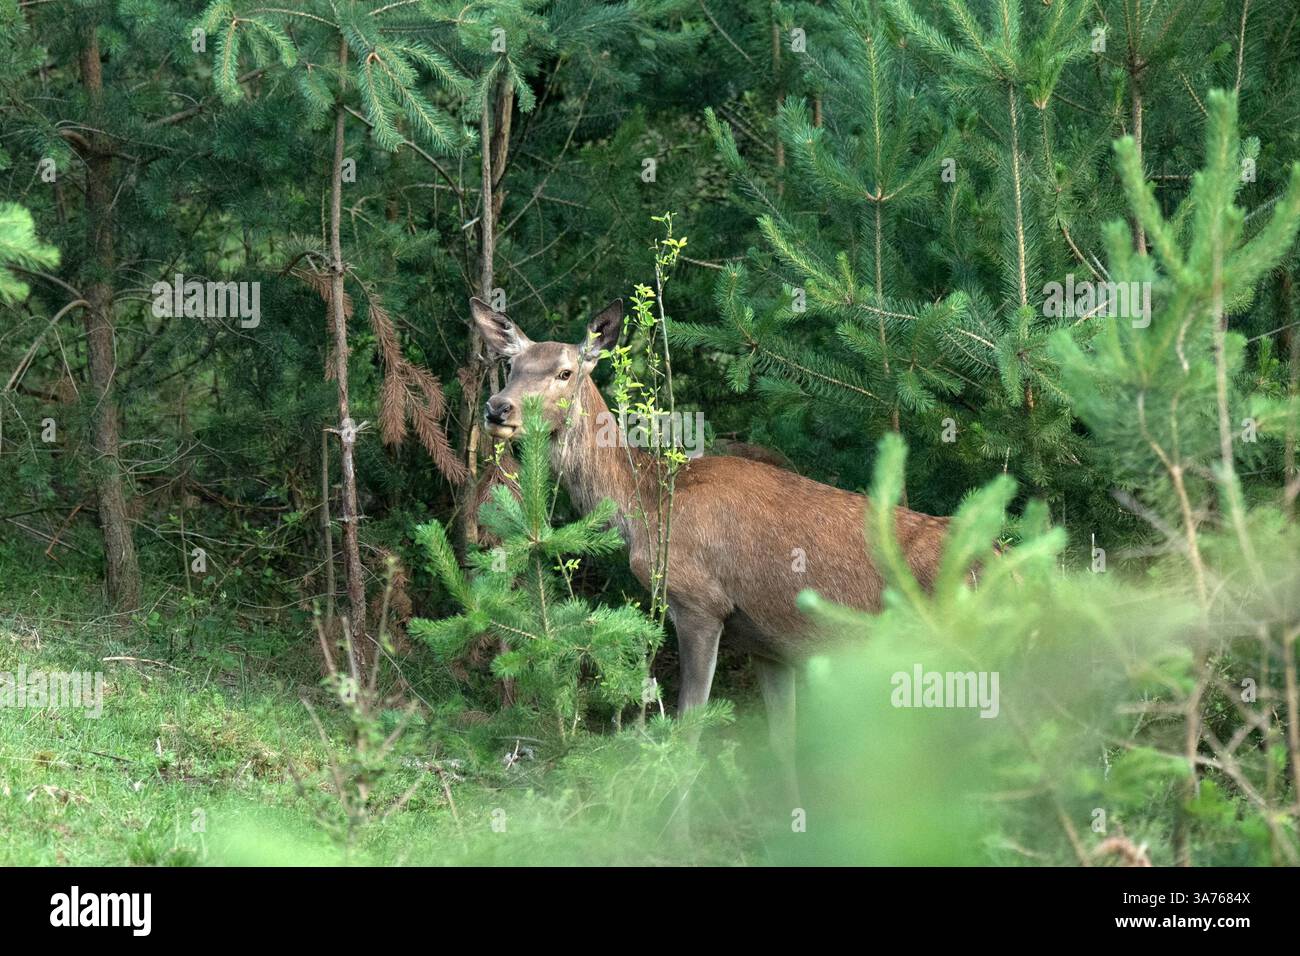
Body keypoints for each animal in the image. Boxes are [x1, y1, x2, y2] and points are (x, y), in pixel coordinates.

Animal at [470, 296, 953, 804]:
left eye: (565, 372)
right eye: (511, 365)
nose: (497, 408)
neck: (647, 506)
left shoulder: (699, 601)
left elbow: (688, 736)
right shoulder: (768, 643)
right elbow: (783, 742)